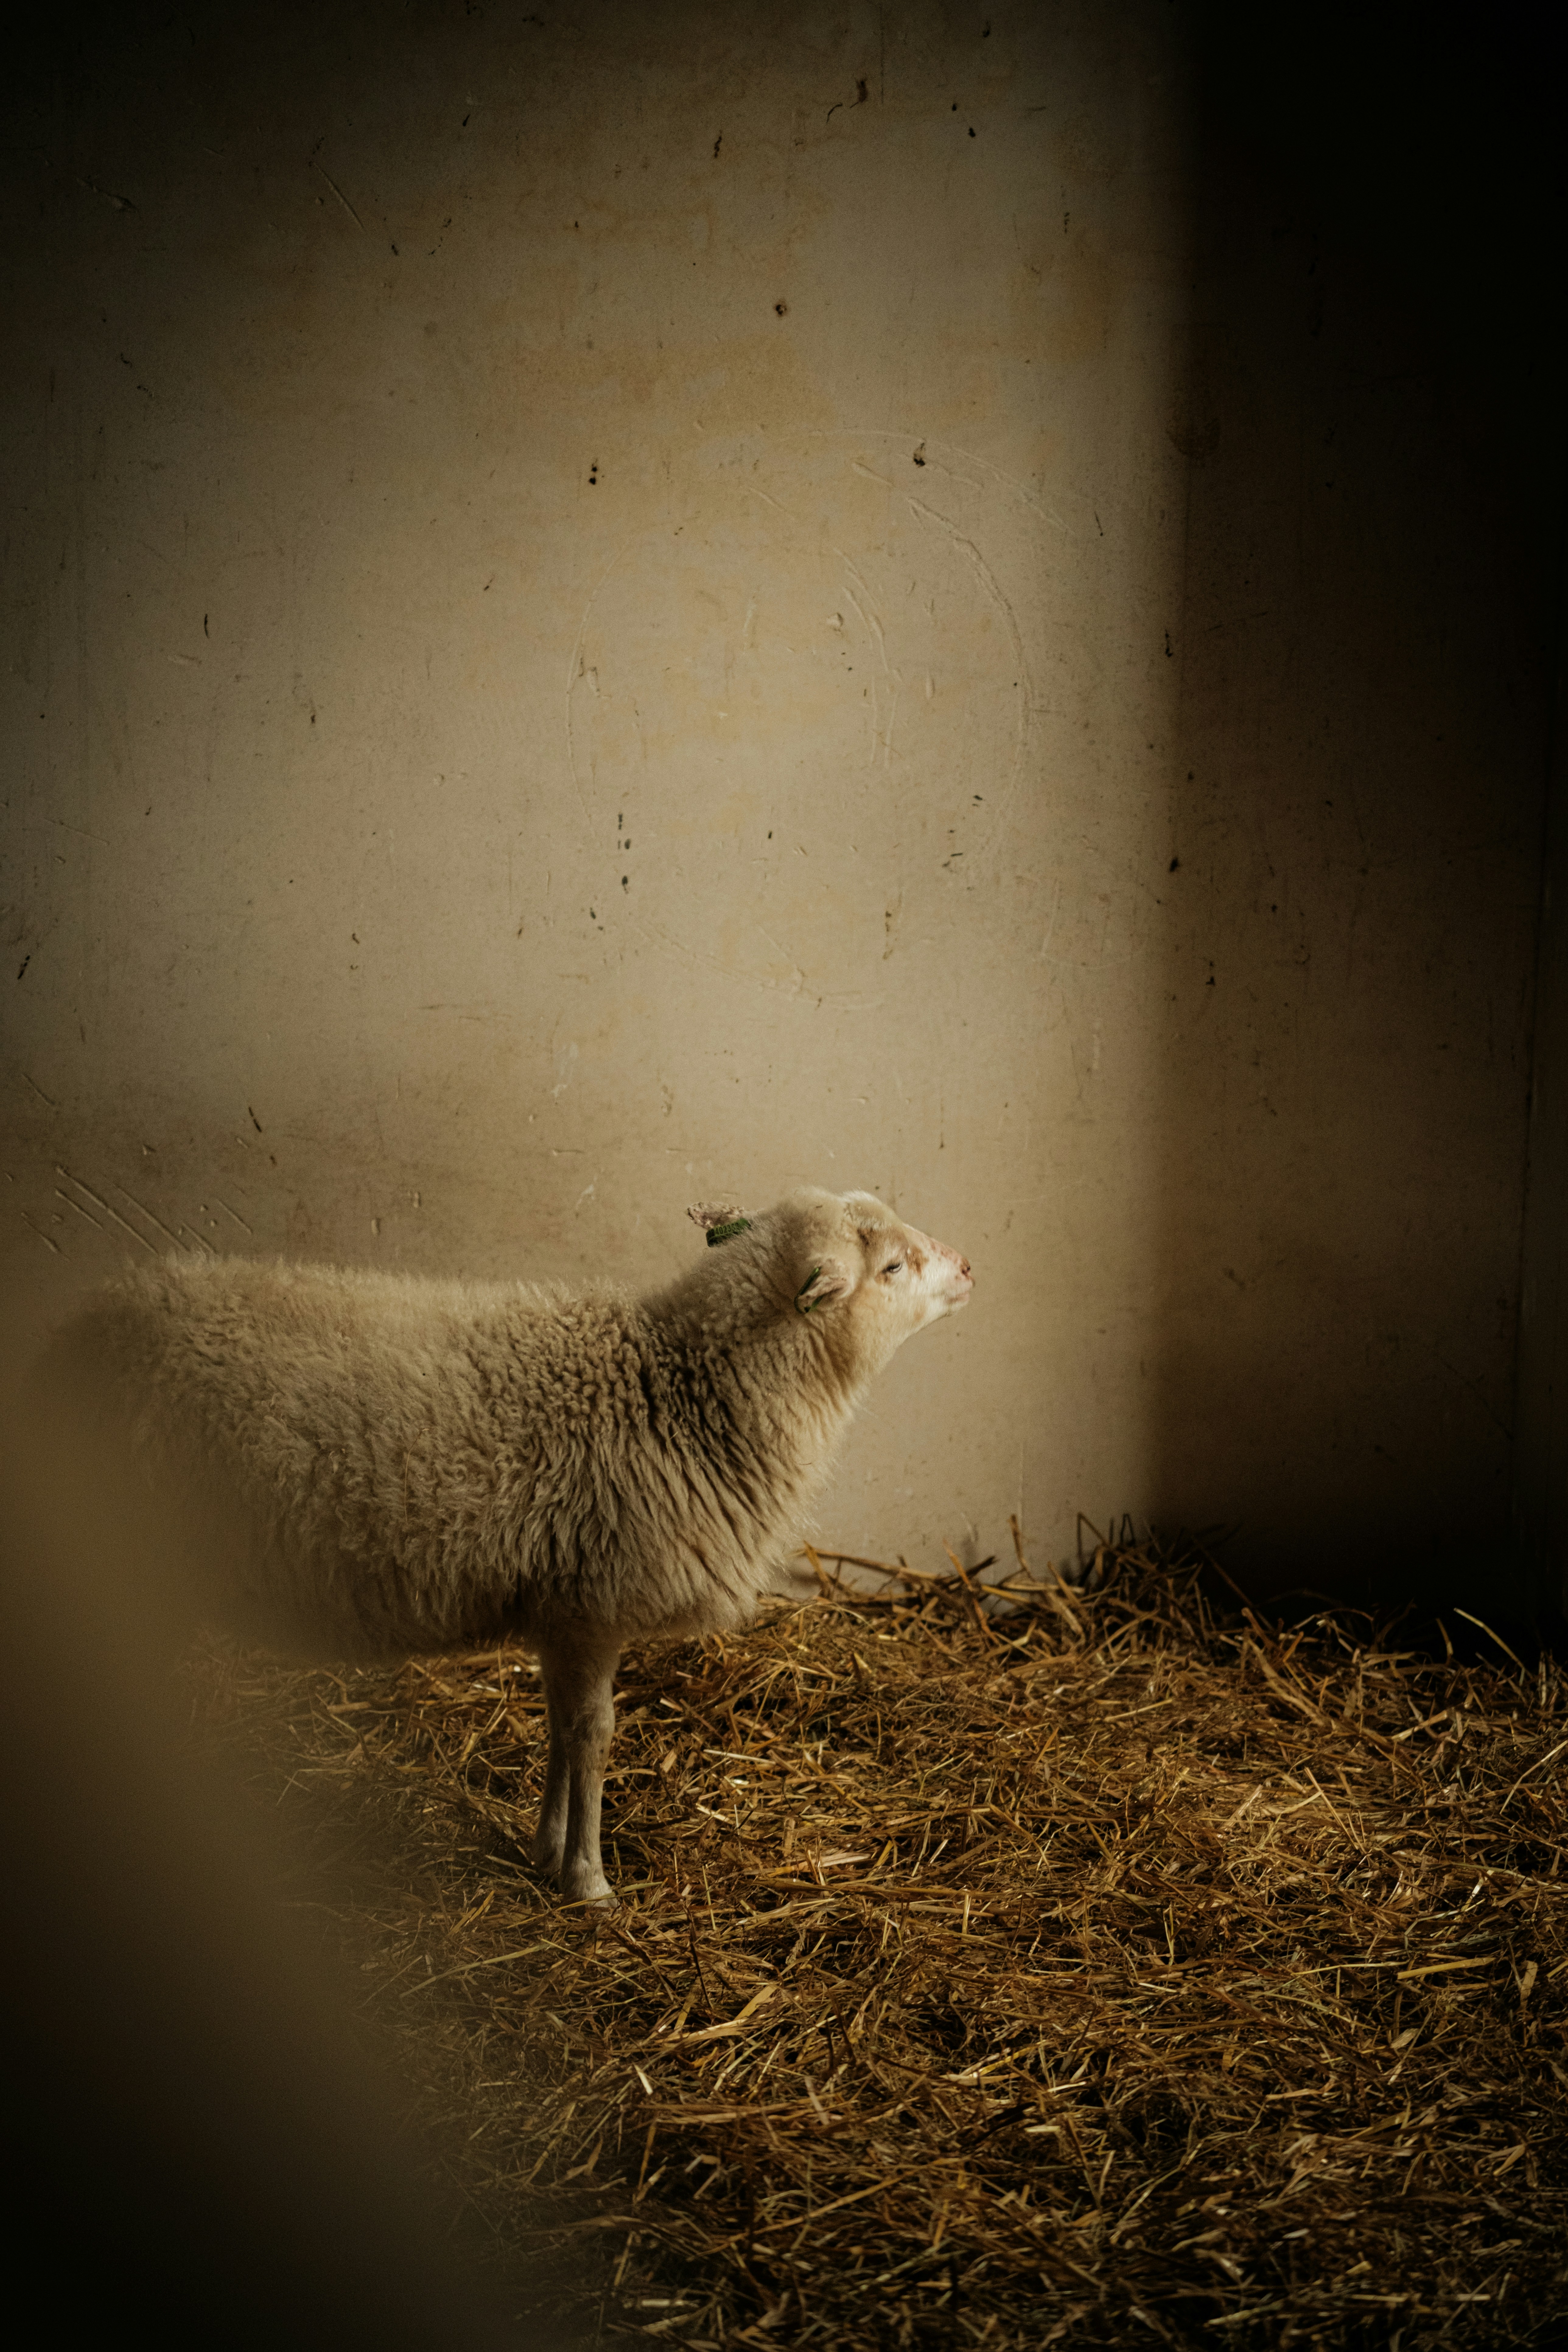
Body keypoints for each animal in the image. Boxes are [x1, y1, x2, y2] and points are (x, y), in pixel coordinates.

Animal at [49, 1186, 973, 1903]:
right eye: (892, 1269)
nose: (967, 1266)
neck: (681, 1388)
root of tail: (78, 1334)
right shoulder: (599, 1605)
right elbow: (595, 1736)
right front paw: (591, 1884)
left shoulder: (563, 1610)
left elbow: (561, 1730)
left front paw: (545, 1849)